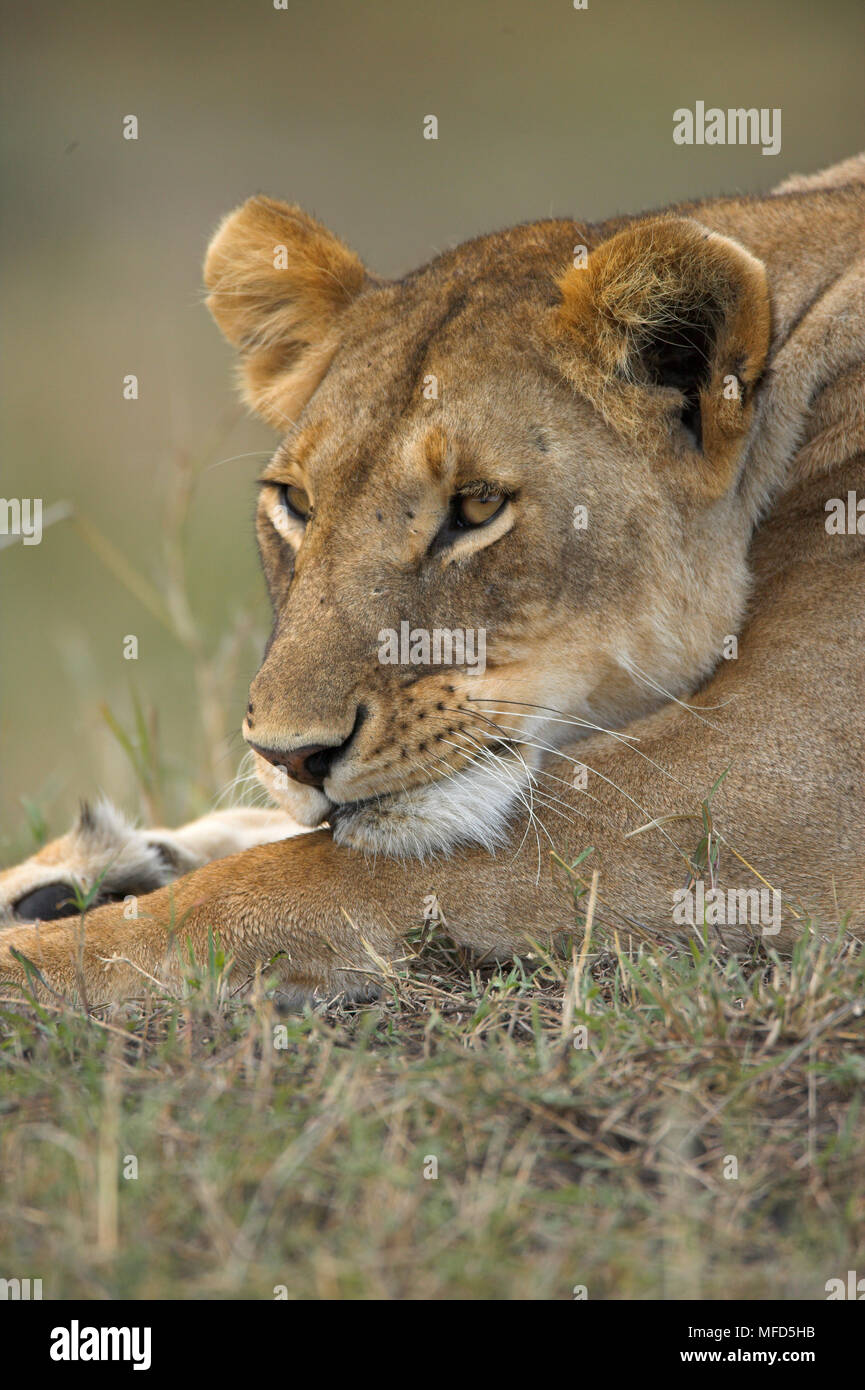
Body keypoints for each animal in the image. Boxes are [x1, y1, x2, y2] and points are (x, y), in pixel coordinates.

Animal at [1, 154, 863, 1005]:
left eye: (476, 506)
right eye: (296, 503)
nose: (292, 757)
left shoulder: (769, 783)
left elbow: (270, 885)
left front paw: (33, 958)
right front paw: (73, 872)